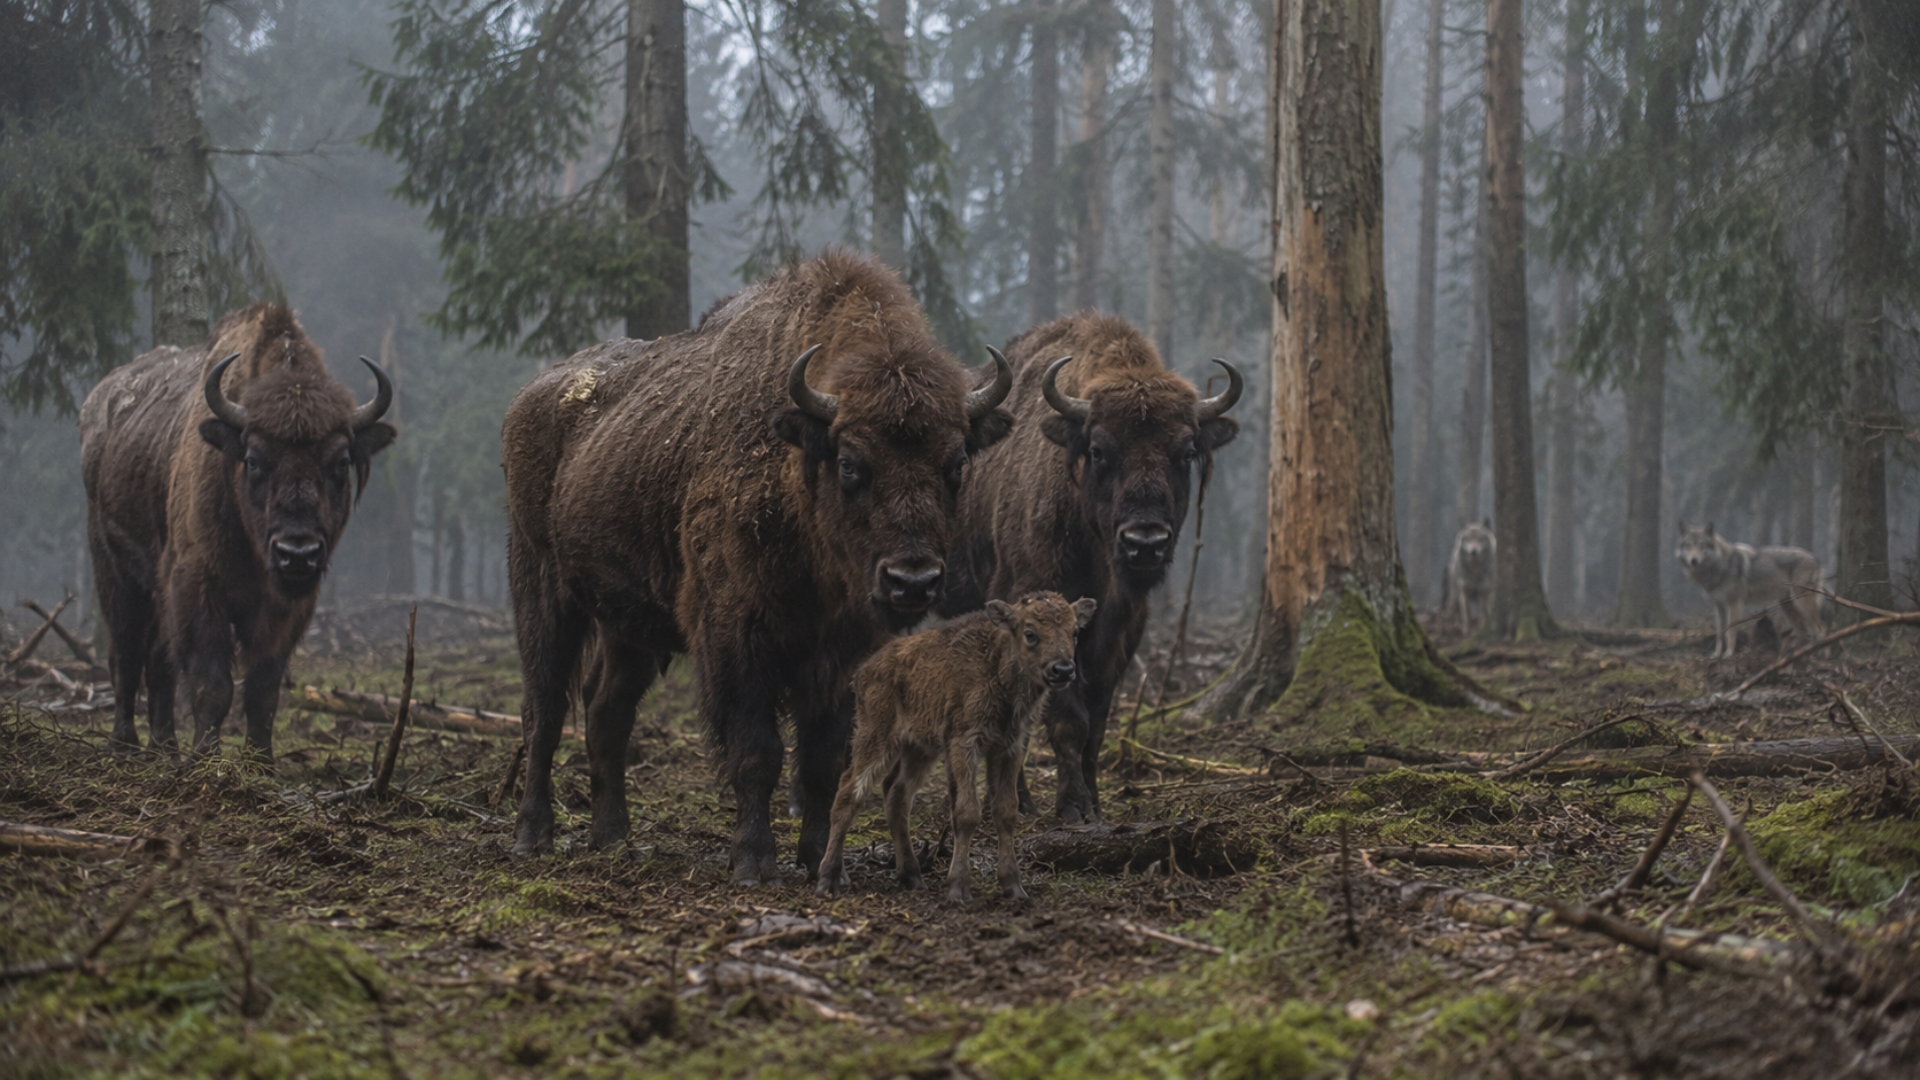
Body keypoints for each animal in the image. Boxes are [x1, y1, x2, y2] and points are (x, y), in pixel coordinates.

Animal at [80, 303, 396, 758]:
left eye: (340, 462)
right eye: (253, 459)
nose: (297, 553)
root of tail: (97, 403)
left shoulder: (286, 610)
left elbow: (262, 691)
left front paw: (260, 762)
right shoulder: (197, 587)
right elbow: (213, 685)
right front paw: (203, 758)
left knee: (158, 661)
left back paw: (165, 747)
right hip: (114, 570)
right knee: (125, 653)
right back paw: (124, 744)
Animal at [500, 250, 1013, 884]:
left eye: (957, 462)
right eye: (850, 462)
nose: (912, 580)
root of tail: (531, 396)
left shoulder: (845, 652)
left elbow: (823, 758)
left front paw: (818, 859)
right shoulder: (736, 637)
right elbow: (757, 752)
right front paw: (752, 861)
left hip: (629, 623)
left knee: (605, 713)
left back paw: (613, 838)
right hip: (541, 588)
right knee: (544, 709)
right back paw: (532, 835)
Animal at [942, 313, 1241, 824]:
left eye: (1186, 453)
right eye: (1099, 450)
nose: (1145, 543)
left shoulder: (1121, 628)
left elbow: (1098, 719)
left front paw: (1096, 802)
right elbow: (1069, 718)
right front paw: (1074, 808)